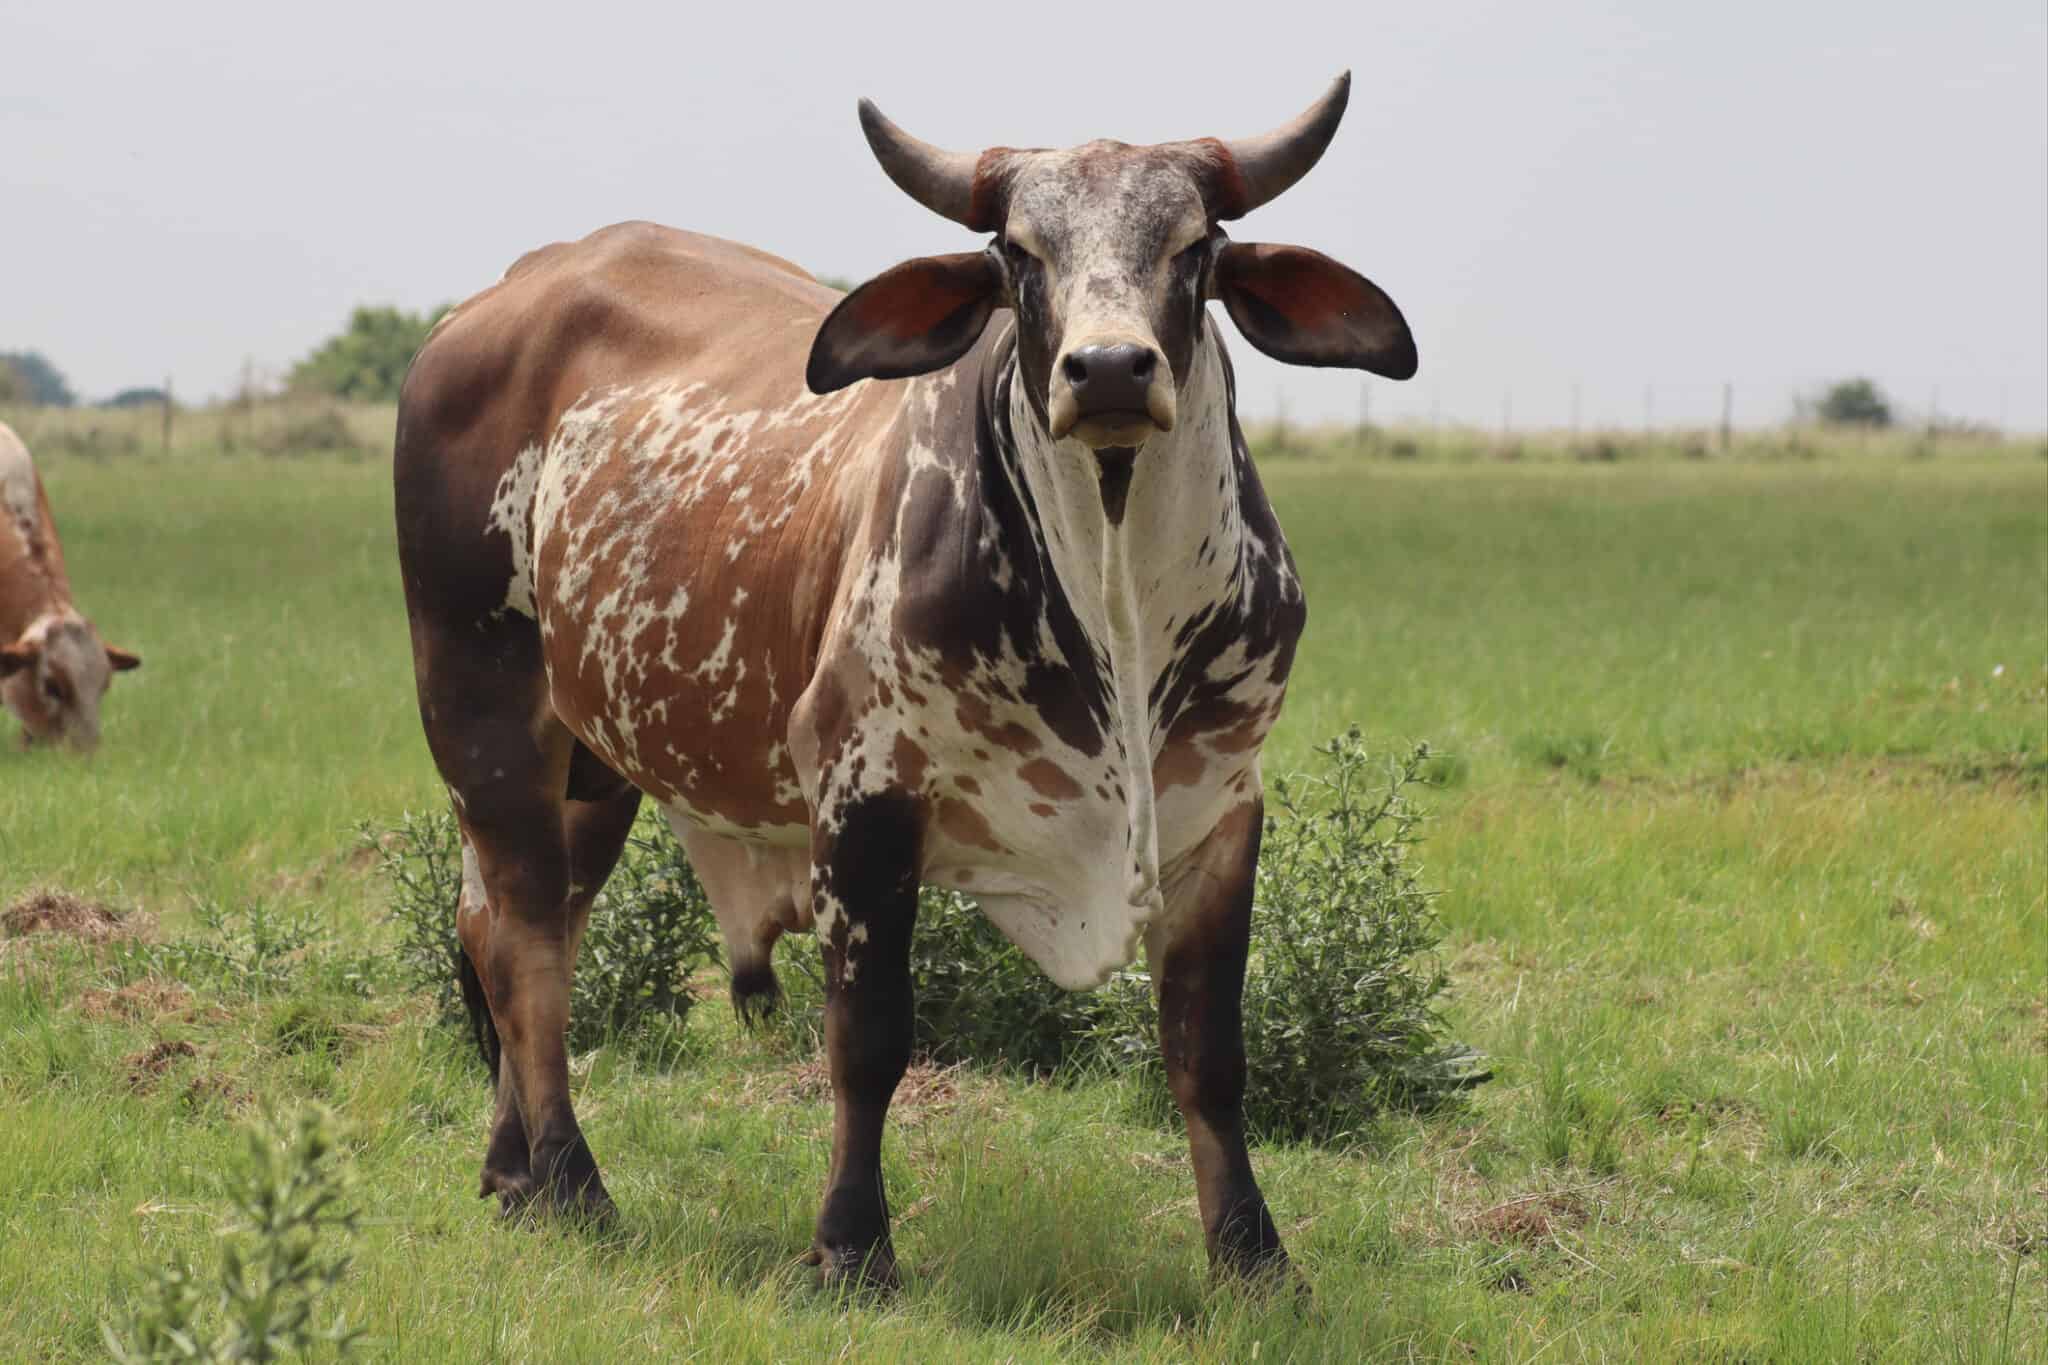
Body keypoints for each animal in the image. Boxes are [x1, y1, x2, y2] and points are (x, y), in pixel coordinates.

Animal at [393, 72, 1415, 1289]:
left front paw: (1255, 1259)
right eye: (1017, 251)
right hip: (483, 708)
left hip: (595, 760)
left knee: (505, 924)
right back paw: (572, 1183)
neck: (1114, 597)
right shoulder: (861, 795)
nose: (1109, 370)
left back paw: (510, 1172)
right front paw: (850, 1245)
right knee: (529, 949)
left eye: (1195, 244)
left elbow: (1208, 1055)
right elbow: (868, 1042)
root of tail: (499, 298)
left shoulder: (1219, 812)